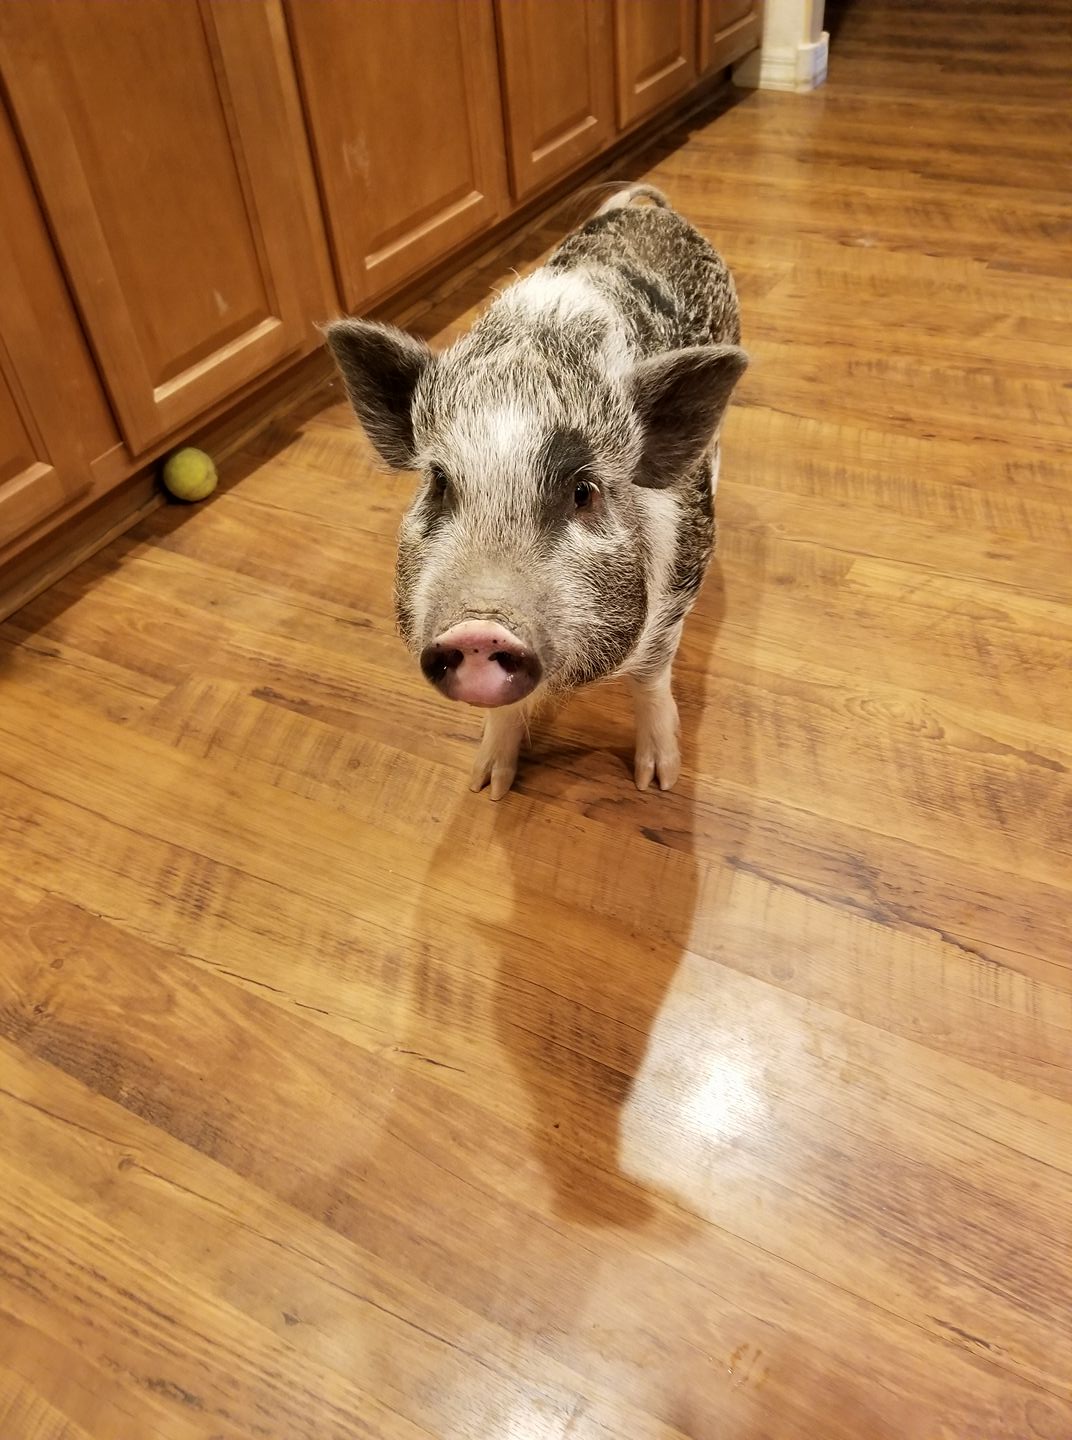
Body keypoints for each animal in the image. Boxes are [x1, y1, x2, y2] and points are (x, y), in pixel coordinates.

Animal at [325, 184, 747, 799]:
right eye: (439, 482)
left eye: (583, 491)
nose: (479, 627)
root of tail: (649, 206)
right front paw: (487, 787)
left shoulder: (676, 594)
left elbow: (650, 681)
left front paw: (657, 783)